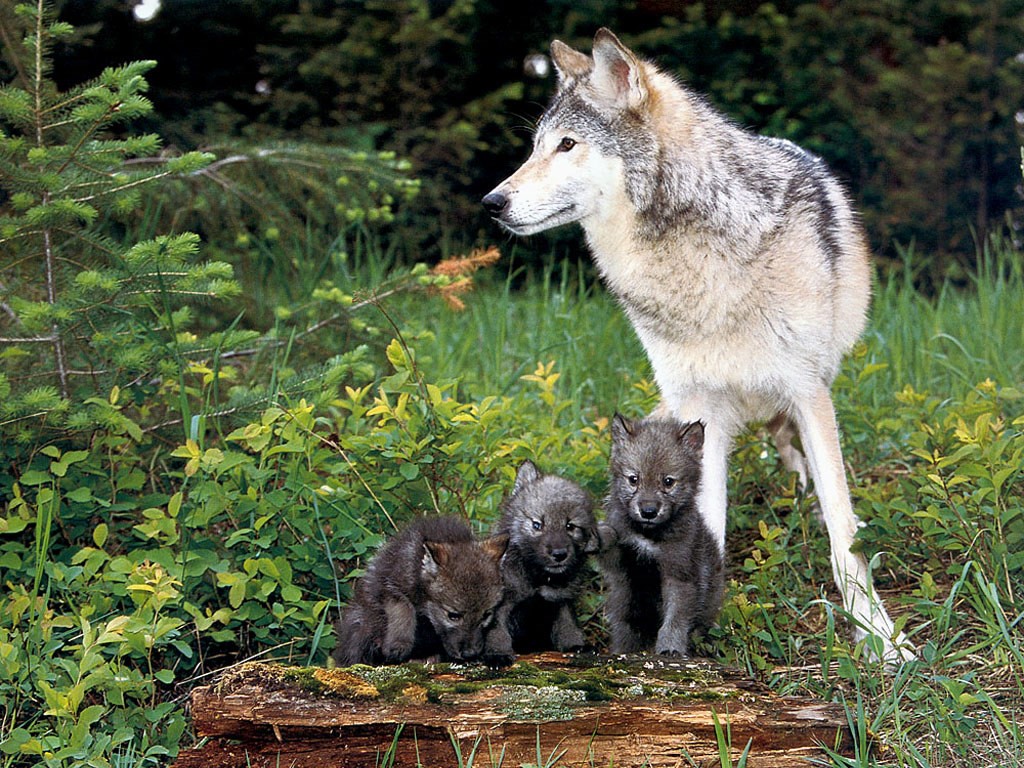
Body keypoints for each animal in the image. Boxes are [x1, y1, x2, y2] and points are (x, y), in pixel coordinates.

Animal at [333, 516, 511, 666]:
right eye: (453, 615)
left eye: (486, 615)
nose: (470, 654)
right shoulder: (390, 587)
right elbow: (403, 611)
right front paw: (399, 644)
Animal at [493, 460, 598, 653]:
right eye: (537, 525)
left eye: (570, 526)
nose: (559, 554)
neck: (539, 578)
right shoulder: (503, 604)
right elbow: (497, 633)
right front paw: (497, 654)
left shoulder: (561, 601)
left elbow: (568, 629)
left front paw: (577, 646)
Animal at [601, 414, 723, 656]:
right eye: (633, 479)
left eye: (668, 482)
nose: (648, 511)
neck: (649, 535)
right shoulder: (621, 568)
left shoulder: (679, 574)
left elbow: (675, 617)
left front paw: (670, 648)